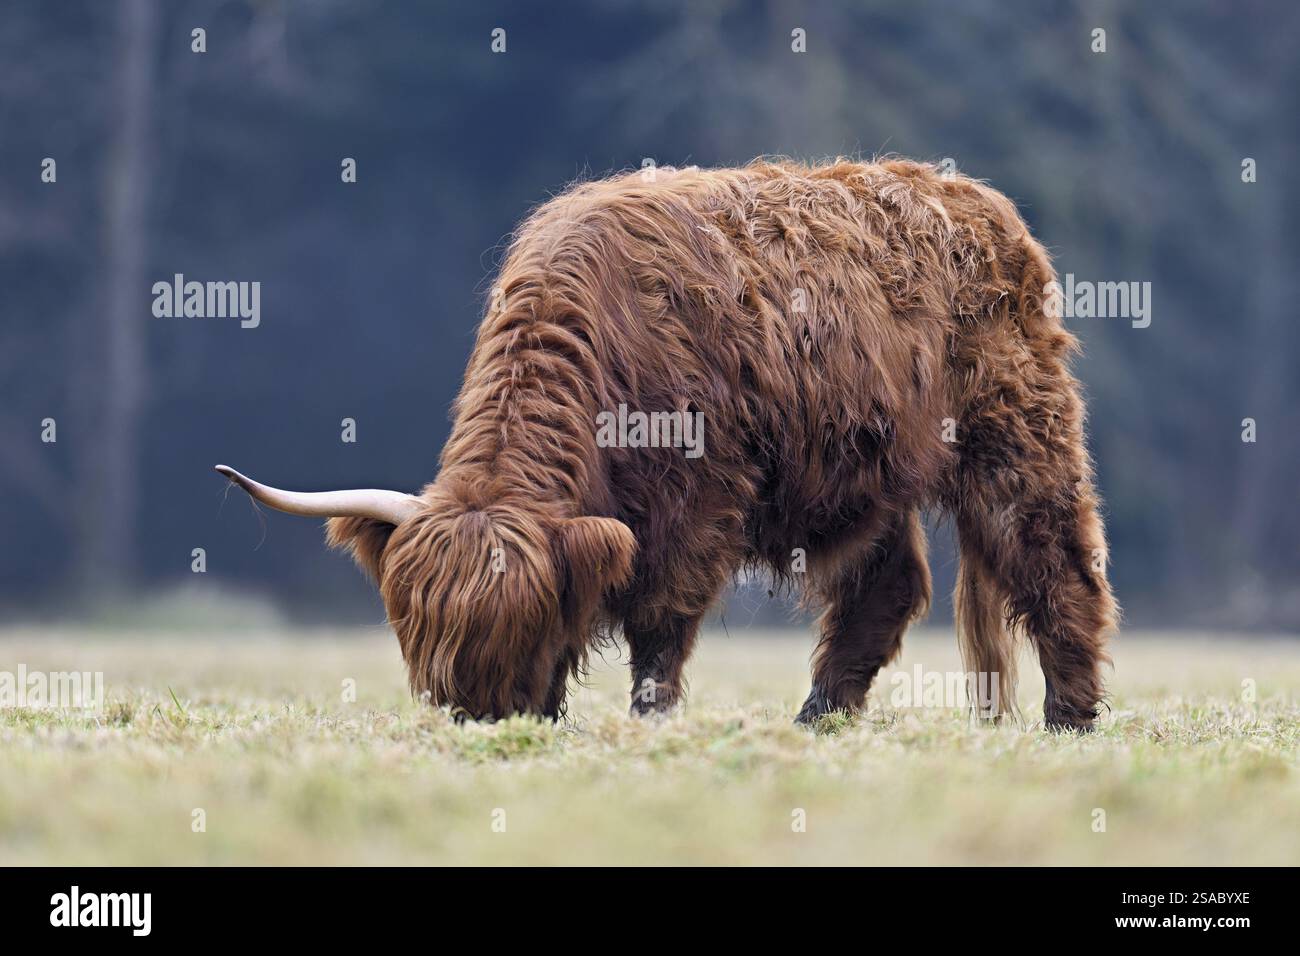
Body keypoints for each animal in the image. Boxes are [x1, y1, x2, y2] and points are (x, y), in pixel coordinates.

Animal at [217, 158, 1118, 730]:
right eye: (424, 638)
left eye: (514, 633)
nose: (481, 722)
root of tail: (976, 200)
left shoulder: (700, 500)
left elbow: (660, 626)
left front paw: (648, 719)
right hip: (870, 473)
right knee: (886, 587)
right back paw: (815, 719)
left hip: (1018, 433)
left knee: (1056, 564)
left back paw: (1070, 720)